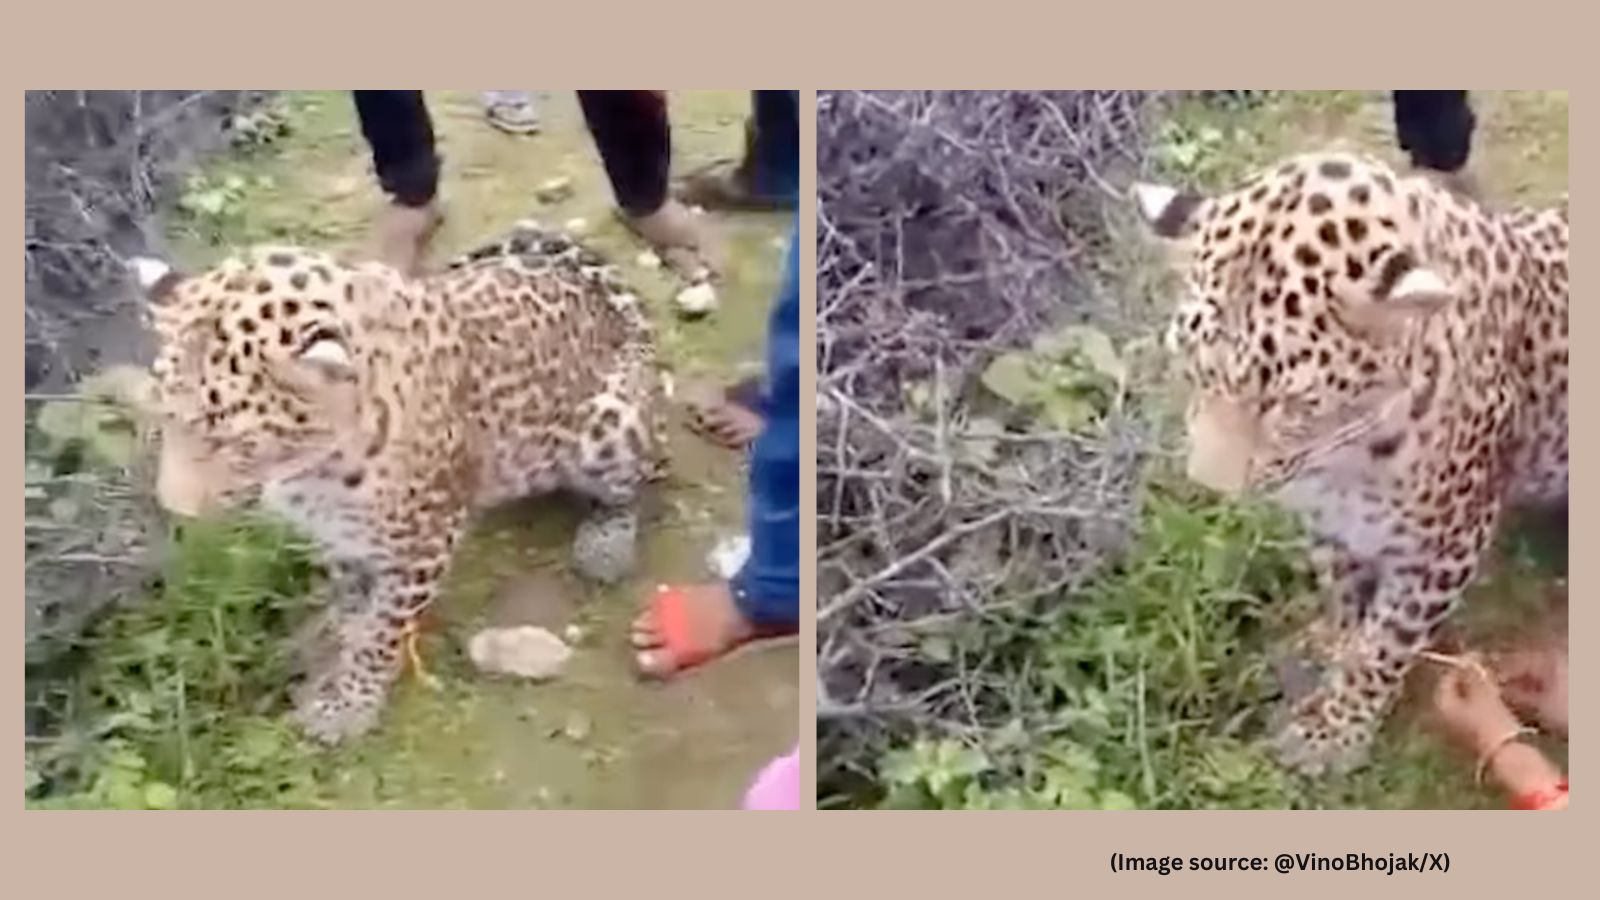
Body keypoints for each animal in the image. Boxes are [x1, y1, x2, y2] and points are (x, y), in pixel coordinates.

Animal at [130, 221, 668, 745]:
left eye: (236, 443)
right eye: (164, 420)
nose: (174, 510)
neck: (315, 469)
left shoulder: (424, 543)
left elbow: (381, 633)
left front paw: (349, 706)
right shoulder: (339, 536)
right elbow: (352, 603)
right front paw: (335, 645)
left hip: (609, 426)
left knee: (636, 484)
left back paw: (605, 544)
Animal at [1130, 149, 1568, 775]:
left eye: (1287, 404)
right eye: (1193, 368)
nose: (1211, 488)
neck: (1346, 456)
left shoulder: (1445, 546)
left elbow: (1384, 645)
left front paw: (1334, 731)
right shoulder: (1330, 525)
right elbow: (1340, 593)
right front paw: (1329, 646)